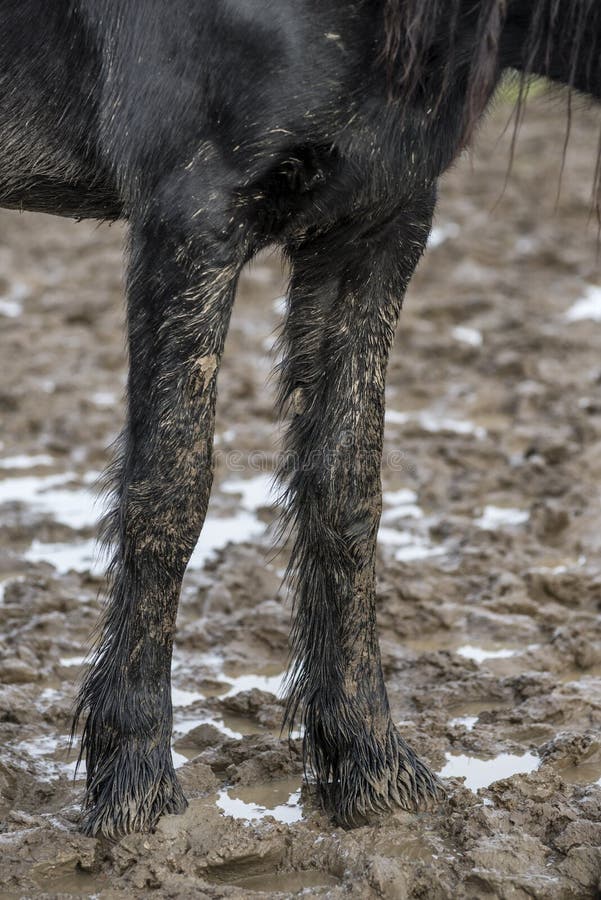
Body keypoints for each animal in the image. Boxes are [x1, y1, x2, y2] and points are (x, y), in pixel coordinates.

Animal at [1, 0, 599, 837]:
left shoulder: (375, 220)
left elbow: (344, 490)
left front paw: (371, 764)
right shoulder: (191, 214)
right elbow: (170, 490)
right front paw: (135, 779)